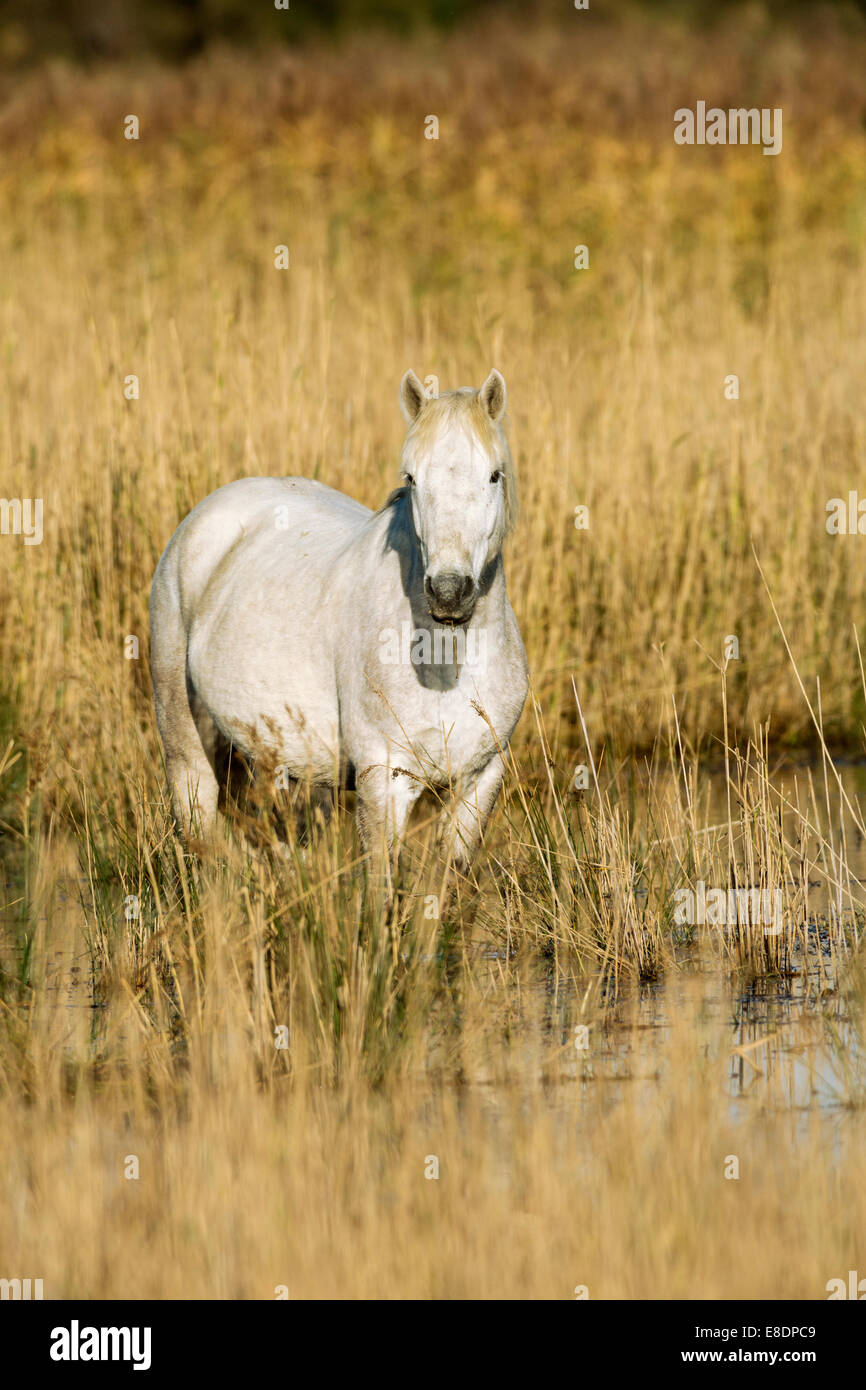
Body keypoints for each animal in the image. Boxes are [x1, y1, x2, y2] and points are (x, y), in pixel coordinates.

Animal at [149, 369, 528, 880]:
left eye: (494, 474)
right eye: (412, 477)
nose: (449, 592)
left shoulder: (479, 780)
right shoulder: (384, 780)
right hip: (183, 730)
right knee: (198, 817)